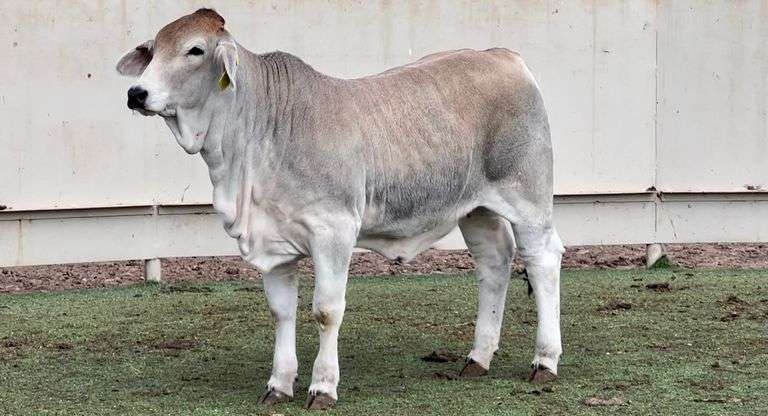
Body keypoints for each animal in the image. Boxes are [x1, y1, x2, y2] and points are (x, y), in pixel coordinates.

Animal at [117, 8, 564, 410]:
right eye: (153, 50)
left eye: (195, 49)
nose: (136, 93)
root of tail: (503, 55)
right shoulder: (273, 241)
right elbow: (282, 312)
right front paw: (279, 384)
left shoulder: (334, 231)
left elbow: (326, 311)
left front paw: (322, 387)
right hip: (476, 209)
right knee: (495, 262)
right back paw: (478, 358)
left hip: (528, 198)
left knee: (542, 259)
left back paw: (545, 361)